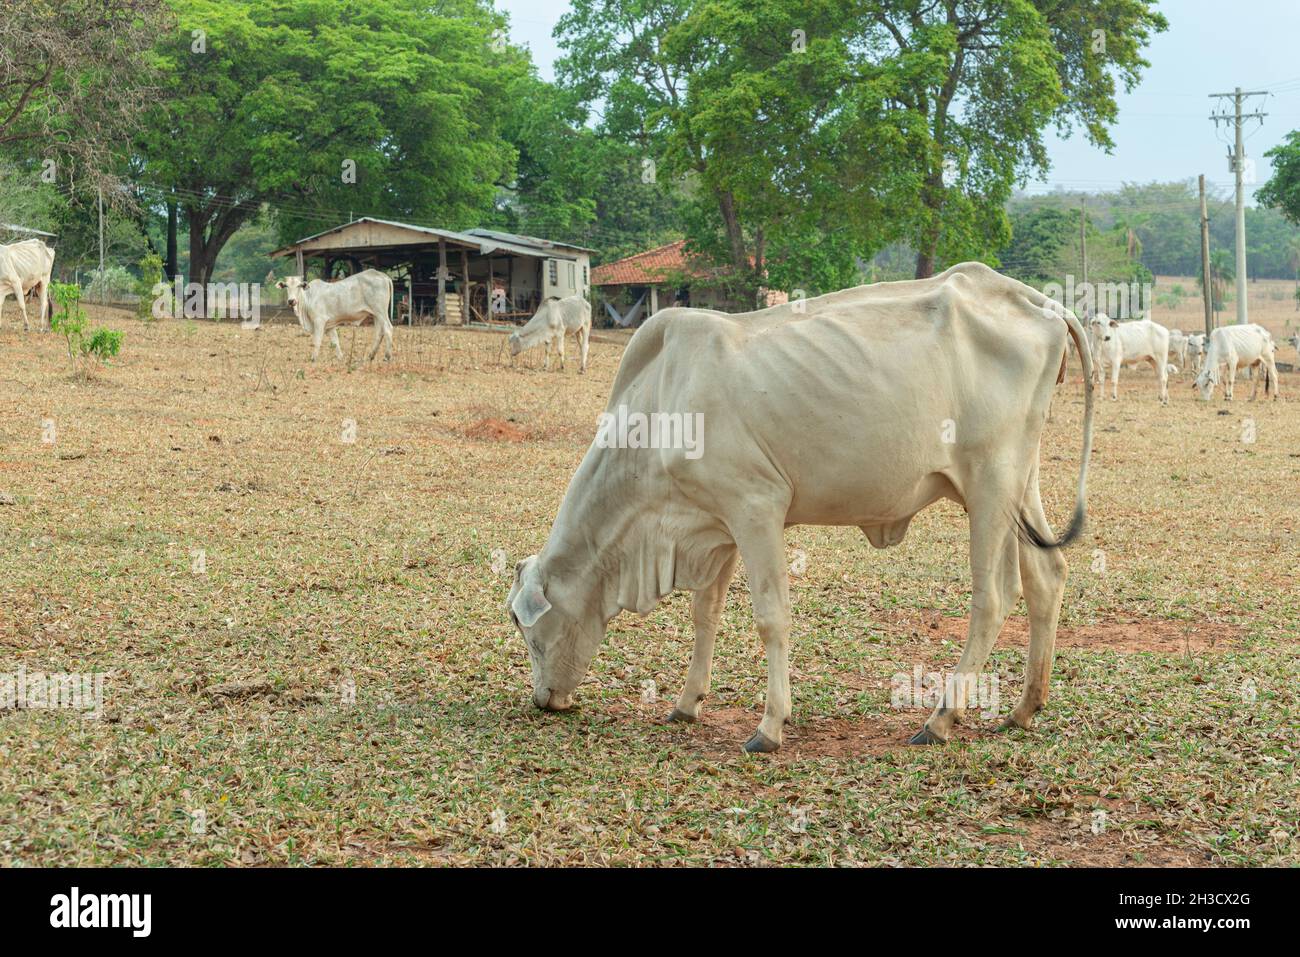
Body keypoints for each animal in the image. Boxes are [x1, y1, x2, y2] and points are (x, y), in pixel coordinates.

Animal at [507, 262, 1095, 751]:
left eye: (525, 628)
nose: (544, 700)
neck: (660, 404)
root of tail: (1040, 303)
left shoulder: (756, 508)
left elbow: (771, 617)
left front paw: (769, 726)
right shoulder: (717, 523)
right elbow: (705, 614)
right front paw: (687, 703)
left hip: (989, 483)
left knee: (993, 598)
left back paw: (940, 719)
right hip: (1020, 484)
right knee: (1047, 575)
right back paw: (1024, 708)